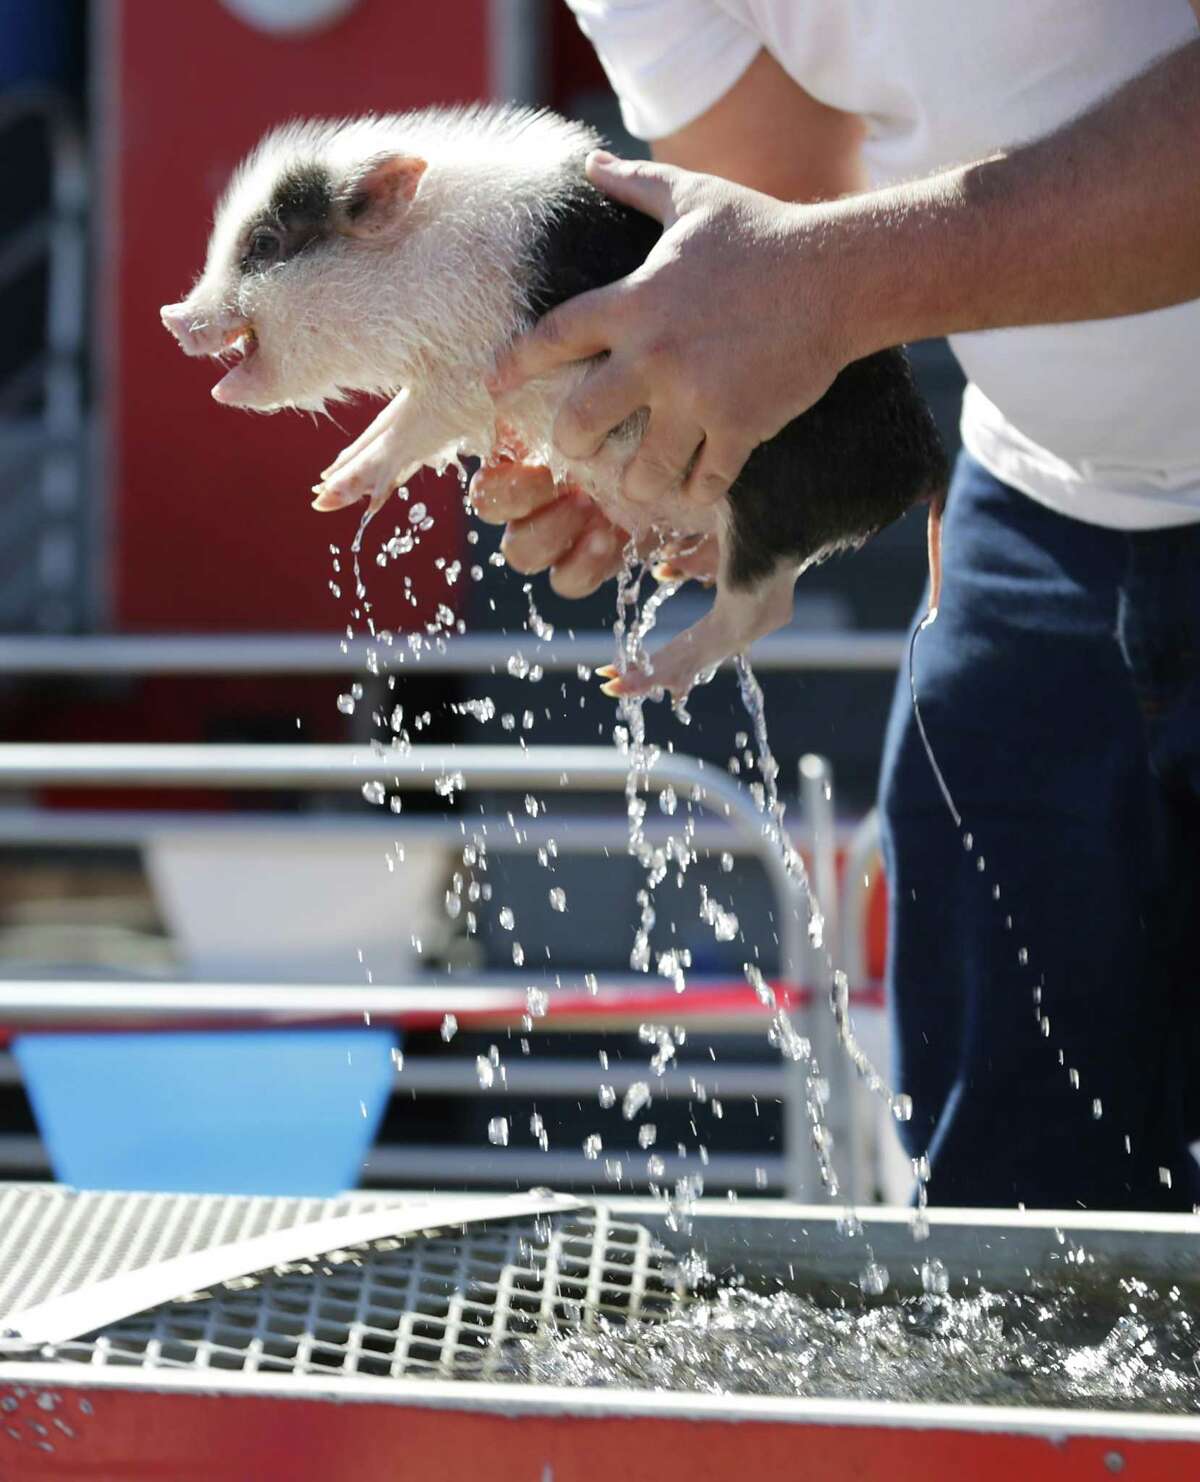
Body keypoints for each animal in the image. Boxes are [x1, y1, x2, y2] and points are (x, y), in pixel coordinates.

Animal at [161, 105, 947, 697]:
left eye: (265, 243)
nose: (172, 316)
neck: (420, 268)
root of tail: (925, 461)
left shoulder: (472, 373)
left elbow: (413, 425)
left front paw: (331, 492)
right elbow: (394, 420)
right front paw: (328, 482)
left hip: (772, 502)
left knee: (763, 606)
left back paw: (625, 678)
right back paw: (674, 570)